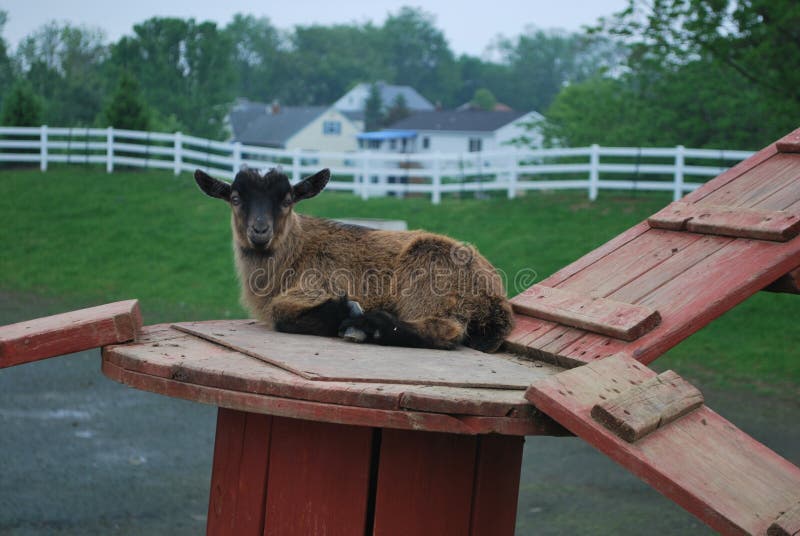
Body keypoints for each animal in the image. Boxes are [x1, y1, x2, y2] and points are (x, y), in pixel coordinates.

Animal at [194, 167, 514, 352]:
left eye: (287, 200)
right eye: (235, 198)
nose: (260, 231)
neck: (297, 251)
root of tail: (495, 300)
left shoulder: (316, 283)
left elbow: (280, 312)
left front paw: (345, 309)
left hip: (428, 275)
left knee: (445, 330)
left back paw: (365, 325)